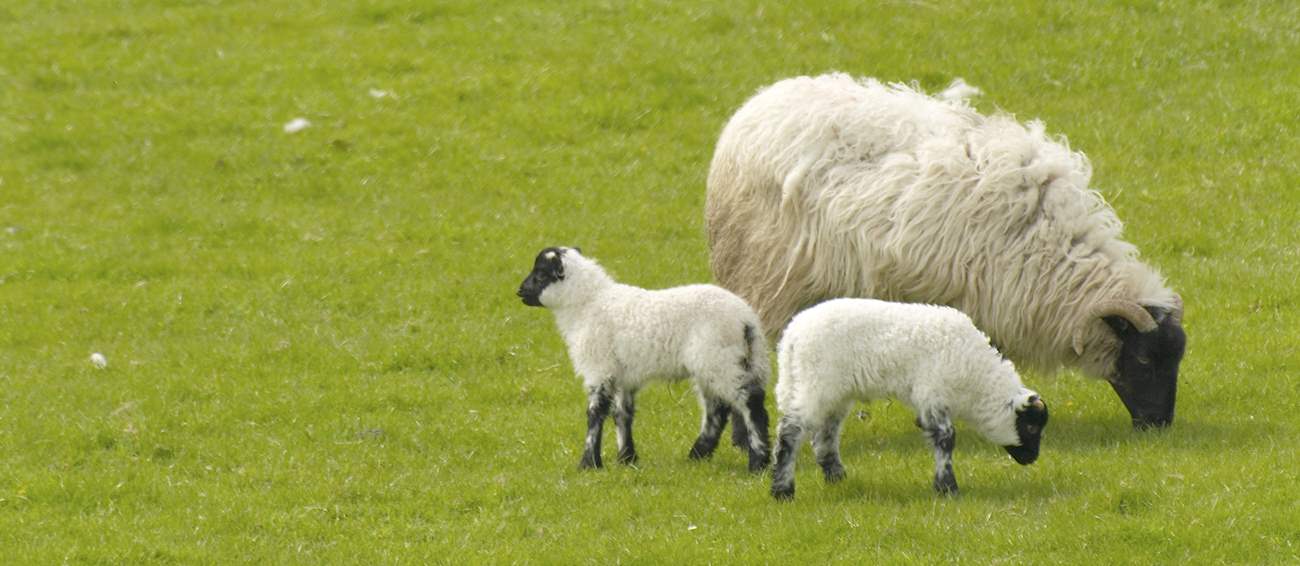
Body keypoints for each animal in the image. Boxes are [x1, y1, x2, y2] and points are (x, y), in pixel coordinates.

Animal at [516, 247, 771, 472]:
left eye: (540, 275)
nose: (520, 292)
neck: (588, 304)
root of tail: (747, 320)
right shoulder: (622, 375)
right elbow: (622, 414)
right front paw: (627, 459)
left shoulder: (599, 368)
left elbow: (595, 413)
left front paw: (589, 463)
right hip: (722, 364)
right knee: (717, 411)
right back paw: (697, 456)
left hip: (719, 361)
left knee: (750, 404)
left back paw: (758, 463)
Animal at [705, 73, 1186, 429]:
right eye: (1144, 357)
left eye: (1176, 358)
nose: (1158, 424)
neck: (1053, 251)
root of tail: (752, 109)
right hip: (764, 275)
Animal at [770, 298, 1049, 500]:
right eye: (1031, 426)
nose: (1032, 459)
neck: (976, 379)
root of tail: (792, 336)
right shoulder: (933, 393)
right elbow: (946, 439)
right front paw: (947, 488)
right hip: (817, 382)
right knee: (791, 431)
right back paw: (783, 490)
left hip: (830, 391)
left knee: (824, 435)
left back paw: (836, 478)